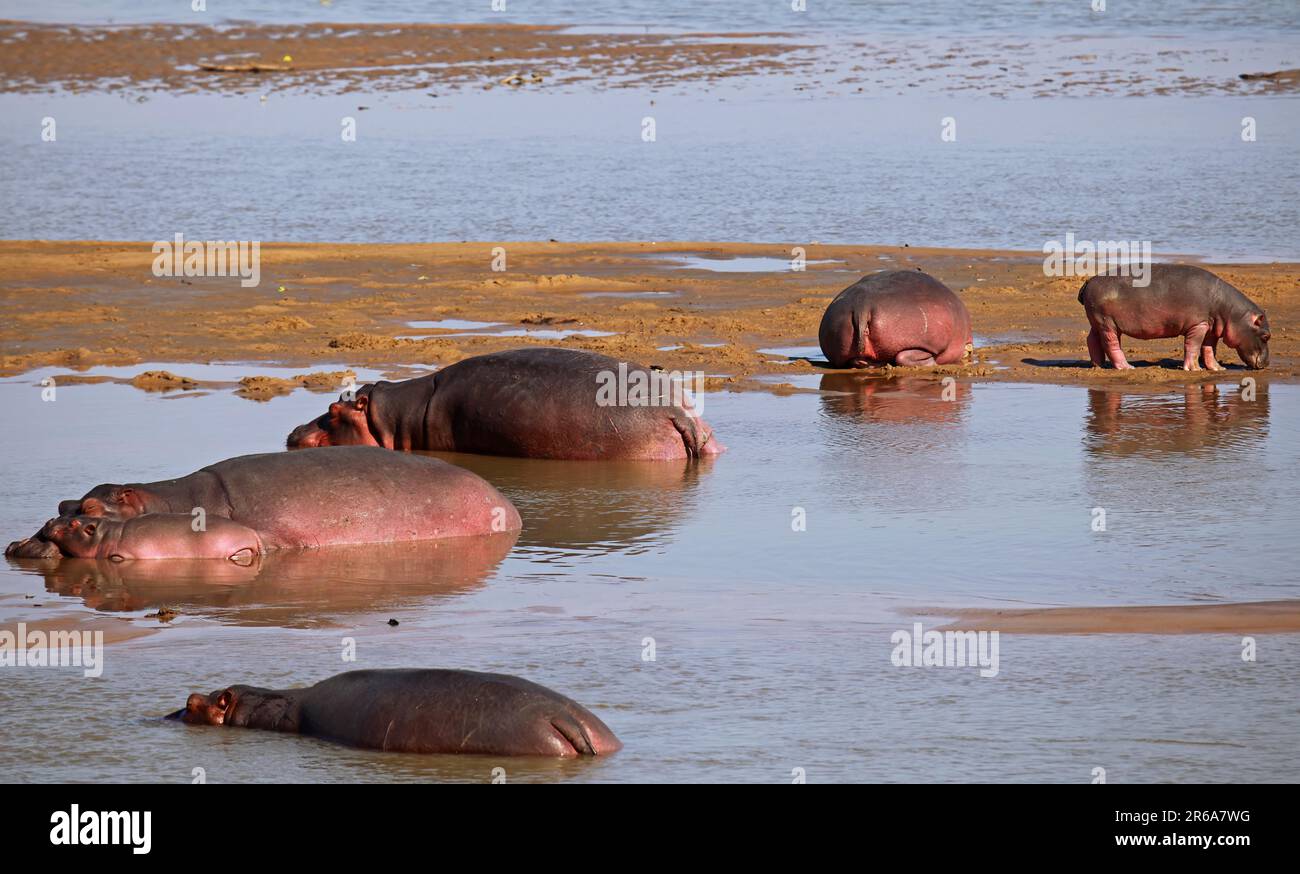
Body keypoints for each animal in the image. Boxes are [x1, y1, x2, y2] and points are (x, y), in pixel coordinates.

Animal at [1078, 264, 1270, 370]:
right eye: (1266, 336)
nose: (1268, 363)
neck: (1231, 311)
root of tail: (1089, 281)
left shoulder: (1211, 327)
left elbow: (1208, 349)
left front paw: (1217, 368)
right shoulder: (1198, 325)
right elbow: (1193, 346)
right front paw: (1195, 369)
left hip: (1099, 322)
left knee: (1092, 339)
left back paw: (1099, 365)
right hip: (1107, 322)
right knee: (1111, 344)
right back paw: (1126, 367)